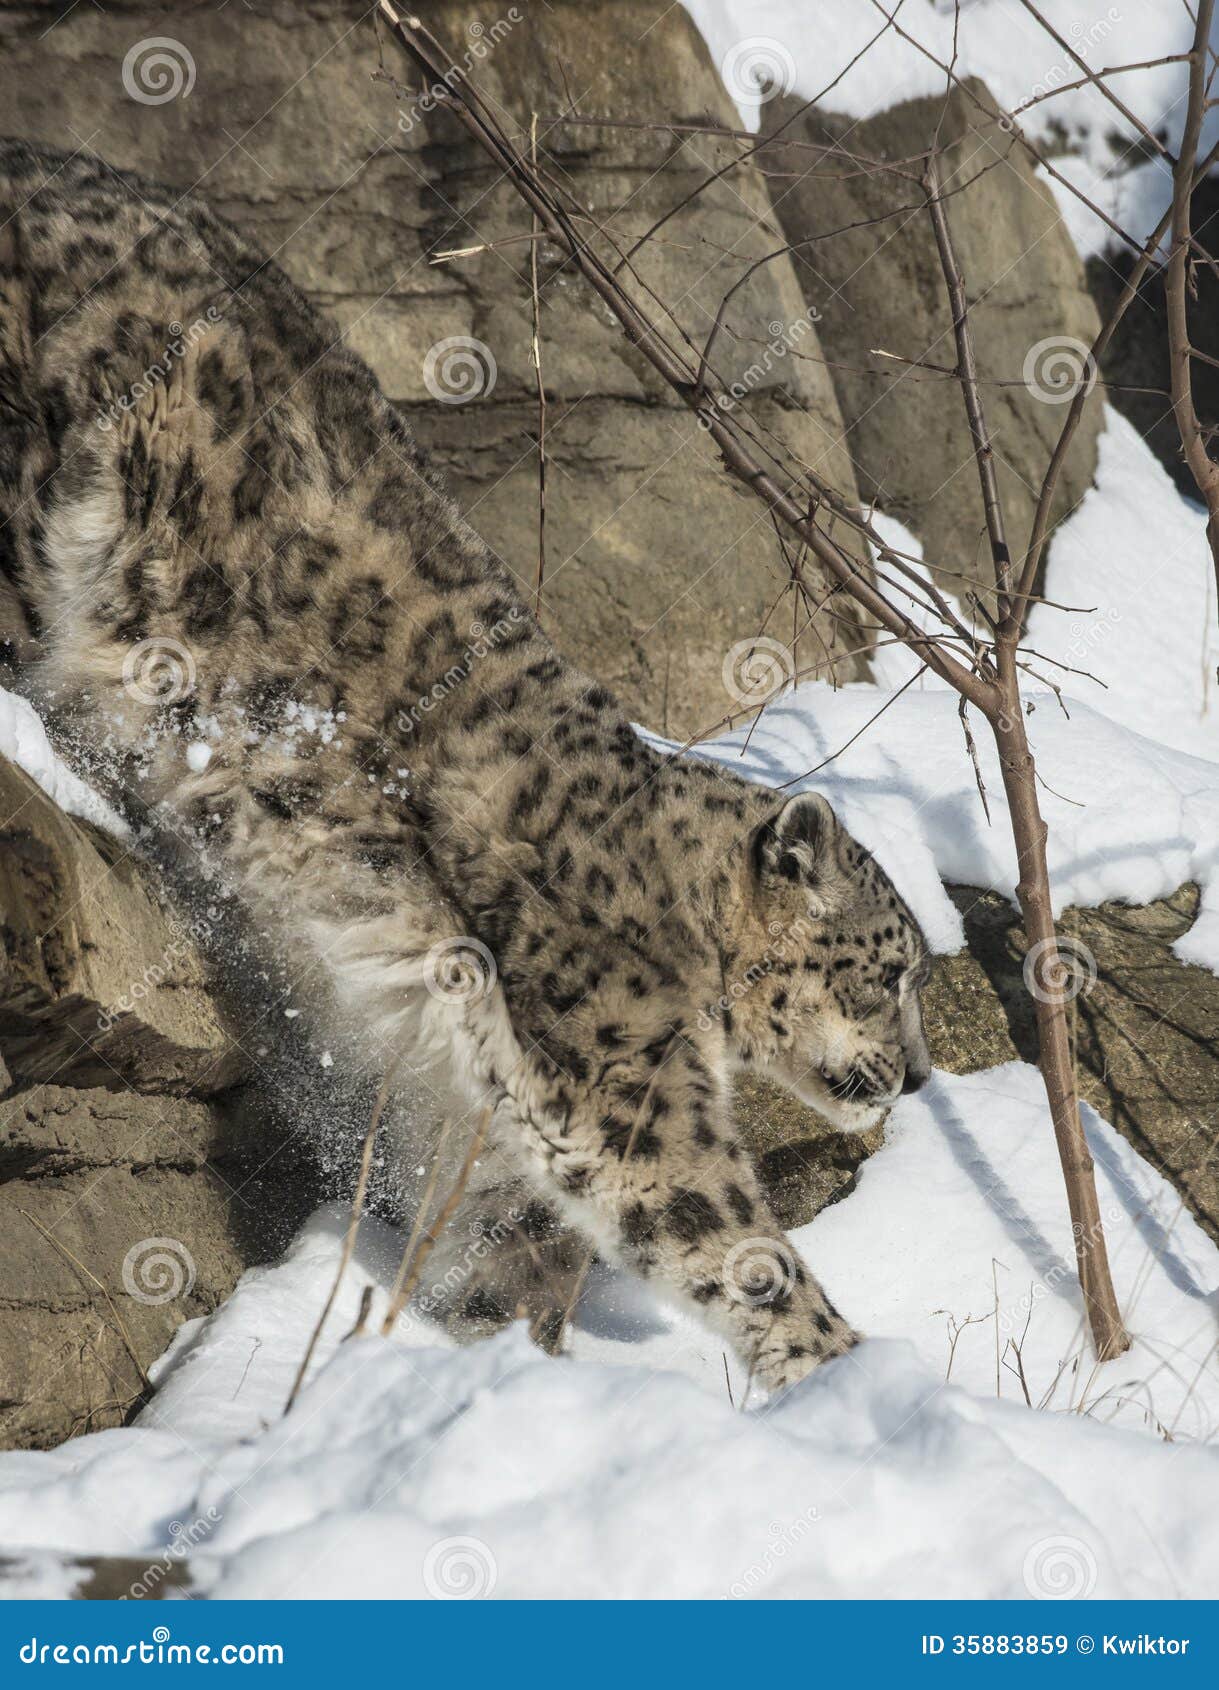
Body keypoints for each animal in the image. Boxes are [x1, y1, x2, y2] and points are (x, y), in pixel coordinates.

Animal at [0, 138, 931, 1394]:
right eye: (888, 972)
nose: (917, 1076)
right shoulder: (622, 1069)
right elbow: (717, 1225)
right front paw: (850, 1370)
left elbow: (499, 1226)